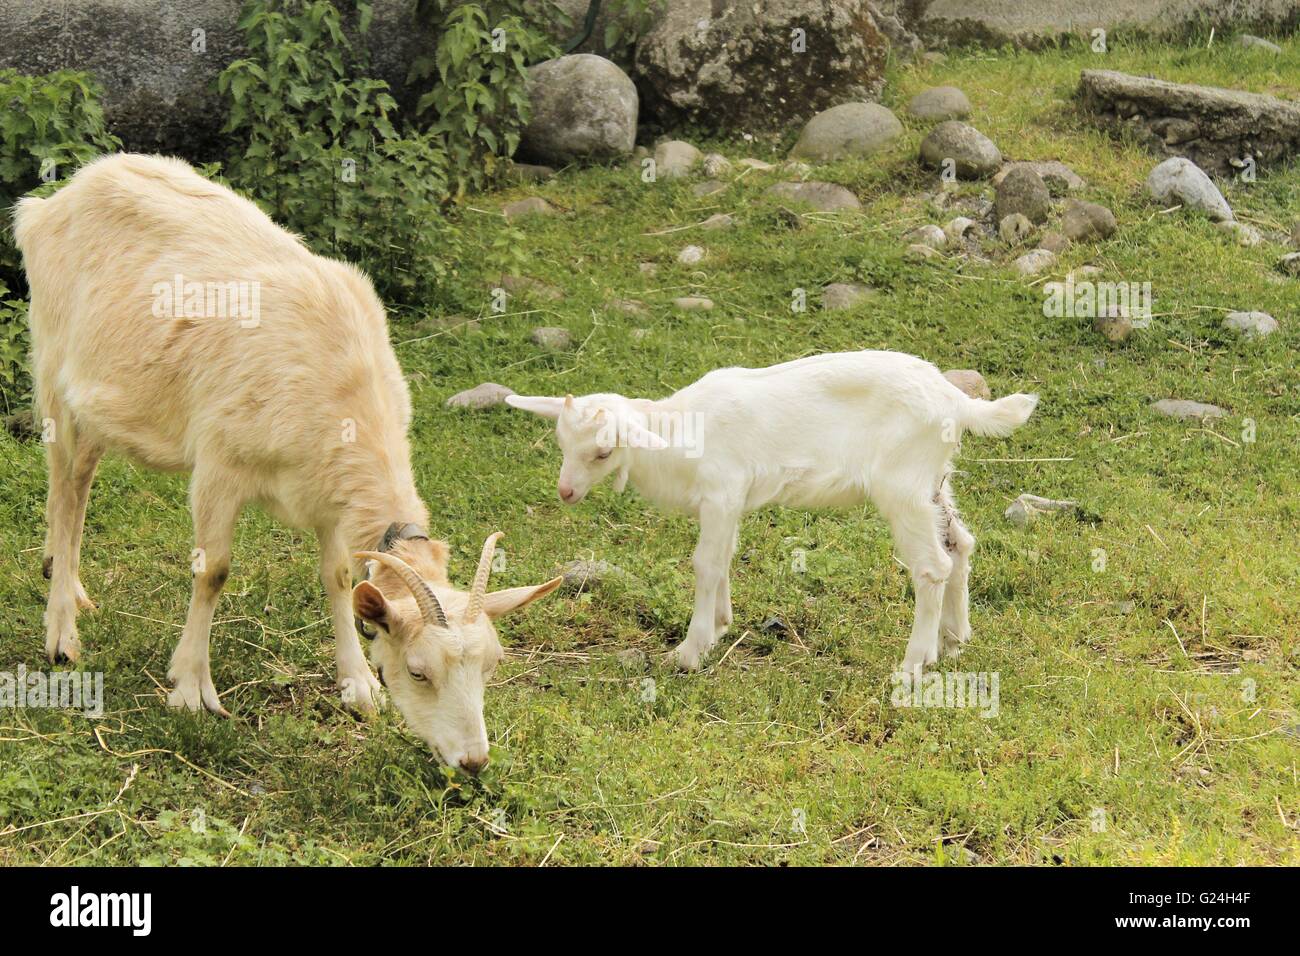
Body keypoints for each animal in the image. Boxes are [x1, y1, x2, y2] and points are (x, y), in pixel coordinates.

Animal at [15, 153, 561, 772]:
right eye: (419, 672)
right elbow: (213, 571)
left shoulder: (326, 495)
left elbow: (339, 576)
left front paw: (358, 685)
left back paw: (66, 578)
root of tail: (55, 200)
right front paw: (191, 689)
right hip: (55, 373)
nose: (472, 761)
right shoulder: (219, 466)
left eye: (491, 666)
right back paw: (62, 634)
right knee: (67, 483)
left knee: (78, 483)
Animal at [507, 351, 1037, 673]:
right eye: (561, 442)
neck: (678, 430)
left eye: (602, 452)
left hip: (902, 484)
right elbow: (723, 558)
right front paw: (721, 626)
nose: (566, 492)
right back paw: (954, 640)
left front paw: (690, 651)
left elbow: (705, 563)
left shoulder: (722, 491)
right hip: (934, 479)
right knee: (960, 545)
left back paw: (914, 662)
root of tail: (957, 402)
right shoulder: (728, 501)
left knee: (932, 565)